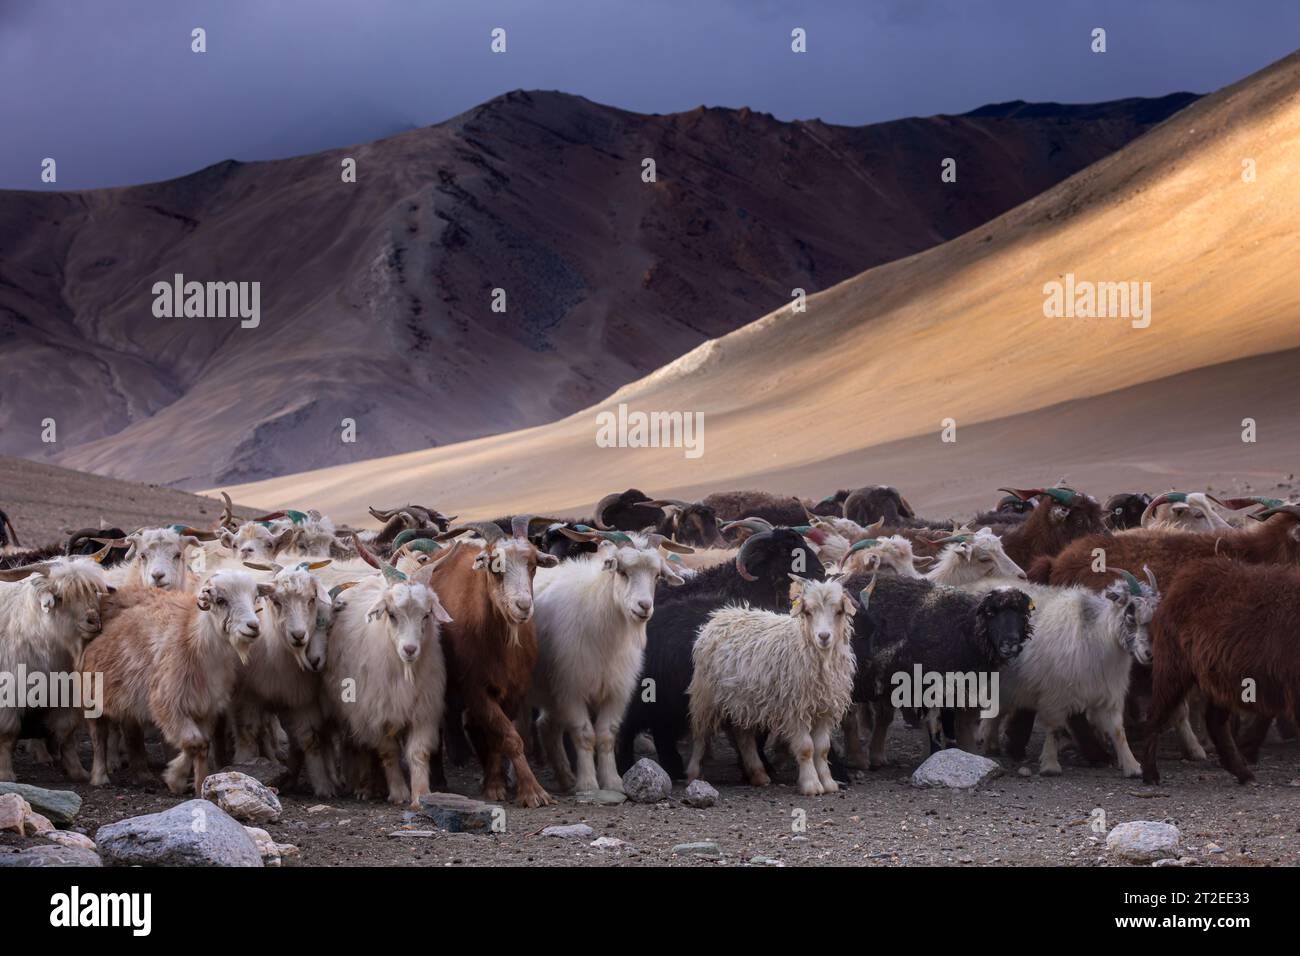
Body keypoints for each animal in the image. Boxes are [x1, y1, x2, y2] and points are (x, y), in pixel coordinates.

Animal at [0, 555, 112, 782]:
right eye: (60, 597)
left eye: (91, 591)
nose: (93, 621)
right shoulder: (9, 691)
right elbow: (8, 732)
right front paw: (6, 774)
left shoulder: (65, 693)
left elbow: (66, 732)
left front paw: (77, 771)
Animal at [83, 570, 269, 794]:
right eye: (221, 600)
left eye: (254, 597)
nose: (253, 626)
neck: (193, 638)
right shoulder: (168, 704)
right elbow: (195, 742)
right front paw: (177, 778)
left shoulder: (204, 706)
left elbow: (202, 744)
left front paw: (195, 783)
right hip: (92, 692)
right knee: (98, 735)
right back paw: (100, 776)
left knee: (131, 730)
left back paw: (141, 773)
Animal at [529, 529, 687, 793]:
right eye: (622, 571)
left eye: (656, 576)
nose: (644, 606)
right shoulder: (571, 688)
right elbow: (584, 734)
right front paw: (588, 784)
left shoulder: (617, 690)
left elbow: (606, 735)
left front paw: (613, 782)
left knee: (546, 725)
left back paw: (565, 777)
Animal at [687, 577, 858, 795]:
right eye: (808, 612)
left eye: (838, 611)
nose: (824, 636)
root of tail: (722, 614)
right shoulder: (795, 708)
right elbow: (806, 748)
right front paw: (811, 785)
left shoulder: (824, 709)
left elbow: (822, 749)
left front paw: (828, 783)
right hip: (705, 695)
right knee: (700, 734)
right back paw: (693, 773)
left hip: (743, 700)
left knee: (743, 736)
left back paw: (759, 775)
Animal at [1141, 557, 1300, 785]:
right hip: (1174, 668)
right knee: (1156, 713)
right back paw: (1150, 773)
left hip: (1219, 678)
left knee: (1215, 721)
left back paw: (1241, 771)